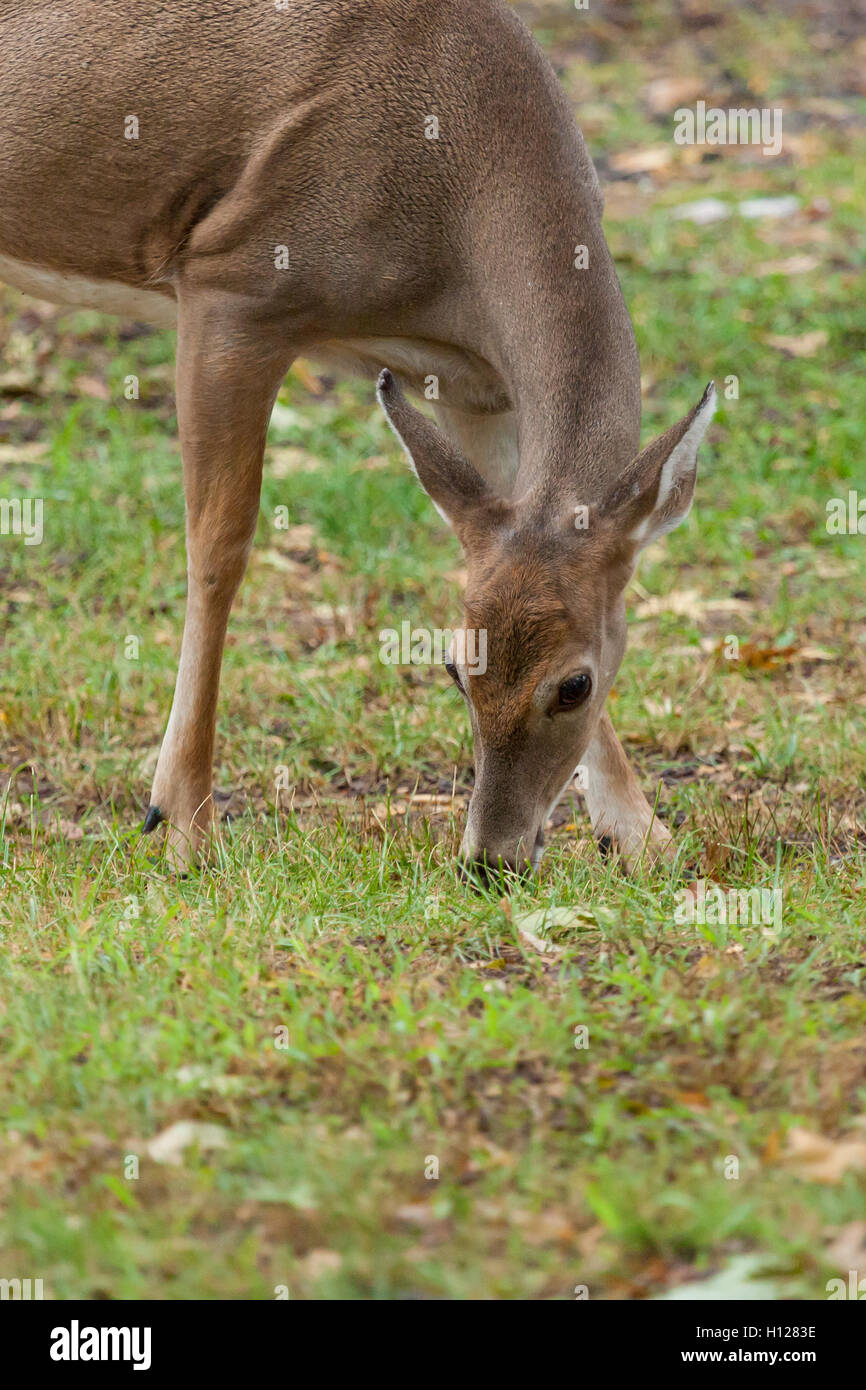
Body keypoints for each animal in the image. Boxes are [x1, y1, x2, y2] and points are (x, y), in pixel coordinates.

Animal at [0, 0, 715, 879]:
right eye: (453, 668)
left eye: (575, 684)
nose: (489, 860)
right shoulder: (235, 286)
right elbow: (219, 550)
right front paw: (184, 827)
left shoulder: (474, 387)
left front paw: (644, 836)